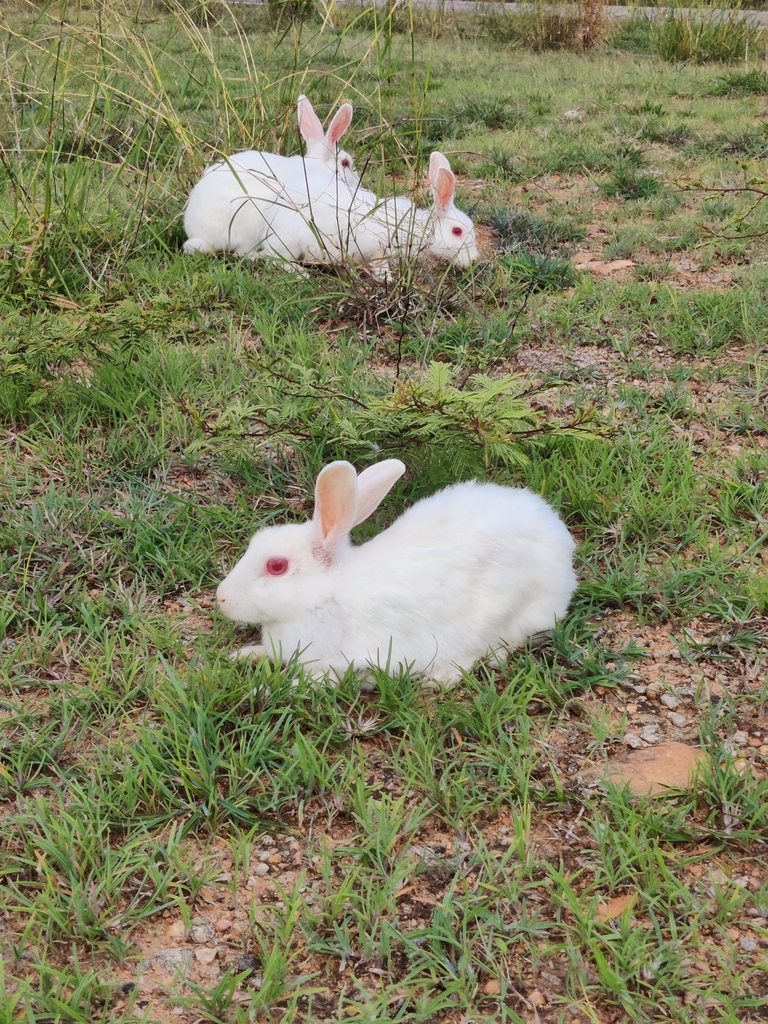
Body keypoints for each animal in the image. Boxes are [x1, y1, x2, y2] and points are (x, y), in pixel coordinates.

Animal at [216, 458, 577, 685]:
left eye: (276, 566)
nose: (221, 598)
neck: (326, 595)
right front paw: (243, 655)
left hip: (502, 612)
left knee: (492, 648)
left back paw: (441, 678)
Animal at [257, 151, 479, 270]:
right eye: (457, 231)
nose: (474, 259)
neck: (418, 230)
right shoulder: (379, 249)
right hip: (289, 242)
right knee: (272, 259)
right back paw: (300, 272)